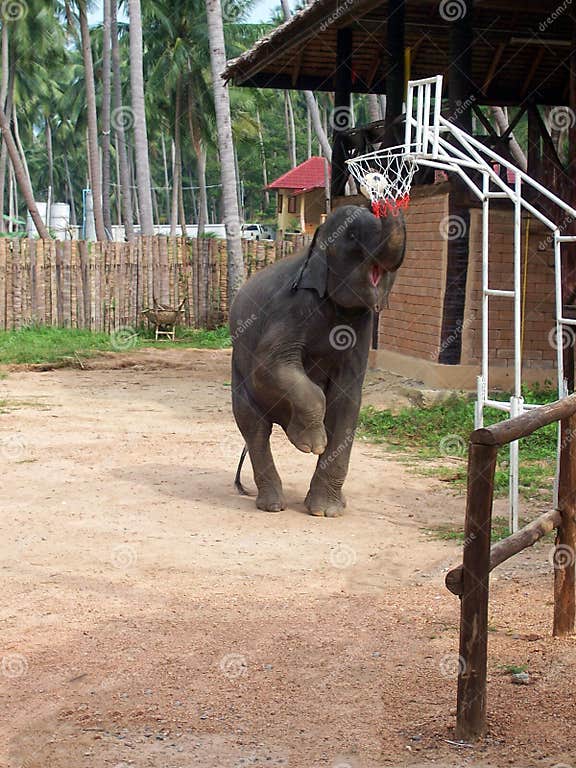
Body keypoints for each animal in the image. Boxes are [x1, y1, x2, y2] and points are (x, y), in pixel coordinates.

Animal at [230, 204, 406, 517]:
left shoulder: (362, 322)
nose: (383, 197)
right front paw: (311, 444)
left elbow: (347, 398)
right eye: (352, 236)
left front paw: (326, 511)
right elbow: (268, 365)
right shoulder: (291, 306)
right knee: (255, 428)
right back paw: (272, 505)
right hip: (238, 372)